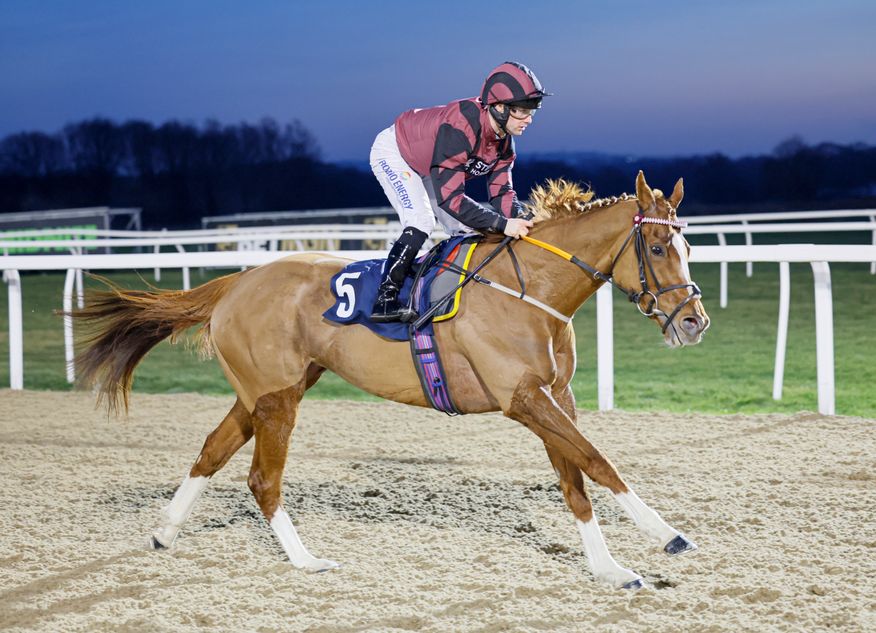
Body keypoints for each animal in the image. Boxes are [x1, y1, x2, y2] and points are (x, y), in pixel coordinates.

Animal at [72, 171, 709, 589]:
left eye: (687, 243)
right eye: (658, 246)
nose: (694, 322)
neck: (531, 290)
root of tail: (237, 281)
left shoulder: (554, 395)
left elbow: (574, 477)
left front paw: (607, 567)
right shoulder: (523, 398)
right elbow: (599, 461)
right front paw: (667, 535)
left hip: (264, 391)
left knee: (211, 451)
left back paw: (165, 531)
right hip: (276, 398)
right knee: (261, 479)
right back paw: (306, 561)